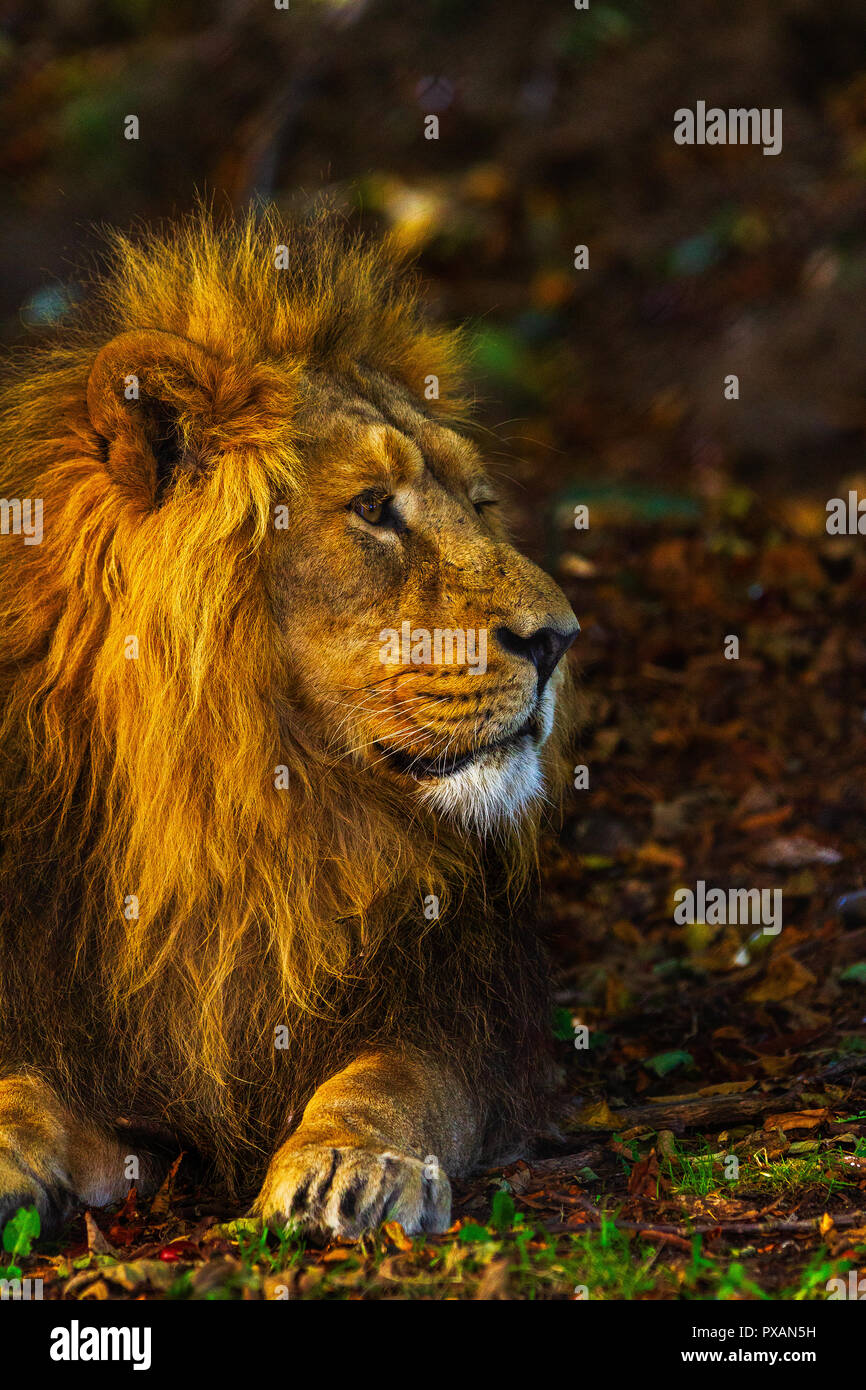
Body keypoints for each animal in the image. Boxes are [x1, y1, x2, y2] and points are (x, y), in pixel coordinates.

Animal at [0, 210, 578, 1240]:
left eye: (480, 505)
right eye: (373, 509)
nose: (559, 638)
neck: (245, 813)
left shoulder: (458, 1009)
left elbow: (395, 1079)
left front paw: (355, 1159)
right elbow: (23, 1086)